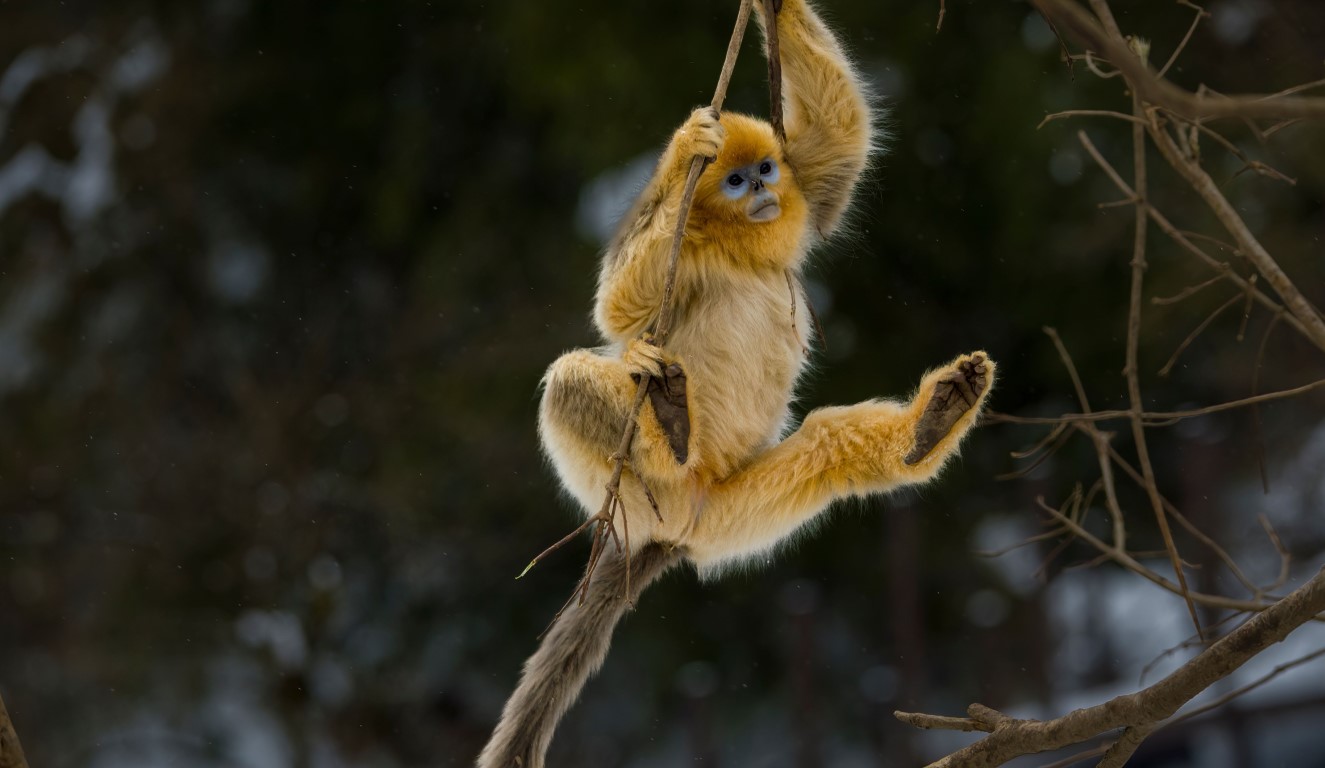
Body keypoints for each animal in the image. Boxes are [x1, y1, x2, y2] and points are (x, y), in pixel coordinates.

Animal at [478, 1, 994, 765]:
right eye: (733, 181)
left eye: (766, 168)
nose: (761, 189)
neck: (733, 246)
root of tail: (666, 536)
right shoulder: (678, 254)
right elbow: (618, 312)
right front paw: (682, 152)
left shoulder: (804, 199)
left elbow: (841, 143)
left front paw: (772, 9)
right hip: (646, 504)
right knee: (571, 379)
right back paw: (669, 427)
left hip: (734, 516)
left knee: (824, 443)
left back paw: (931, 423)